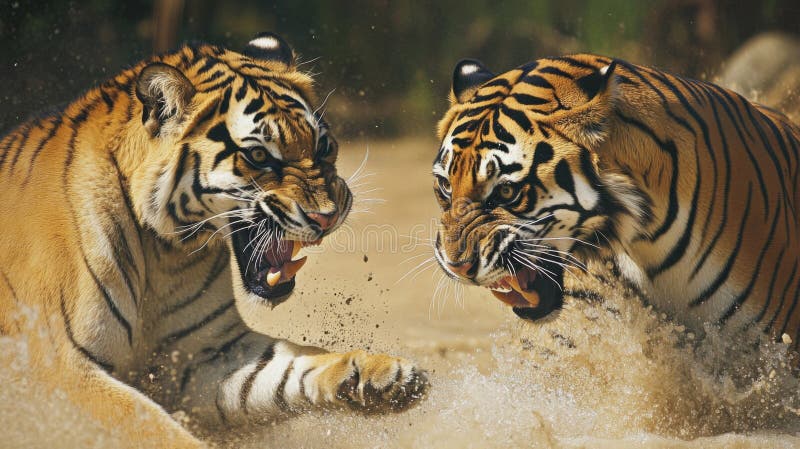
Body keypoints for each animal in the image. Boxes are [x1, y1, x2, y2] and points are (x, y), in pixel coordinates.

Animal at [0, 33, 427, 447]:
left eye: (323, 146)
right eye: (259, 156)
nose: (328, 215)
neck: (165, 250)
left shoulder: (205, 354)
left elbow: (292, 364)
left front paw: (384, 376)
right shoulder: (58, 366)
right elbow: (148, 426)